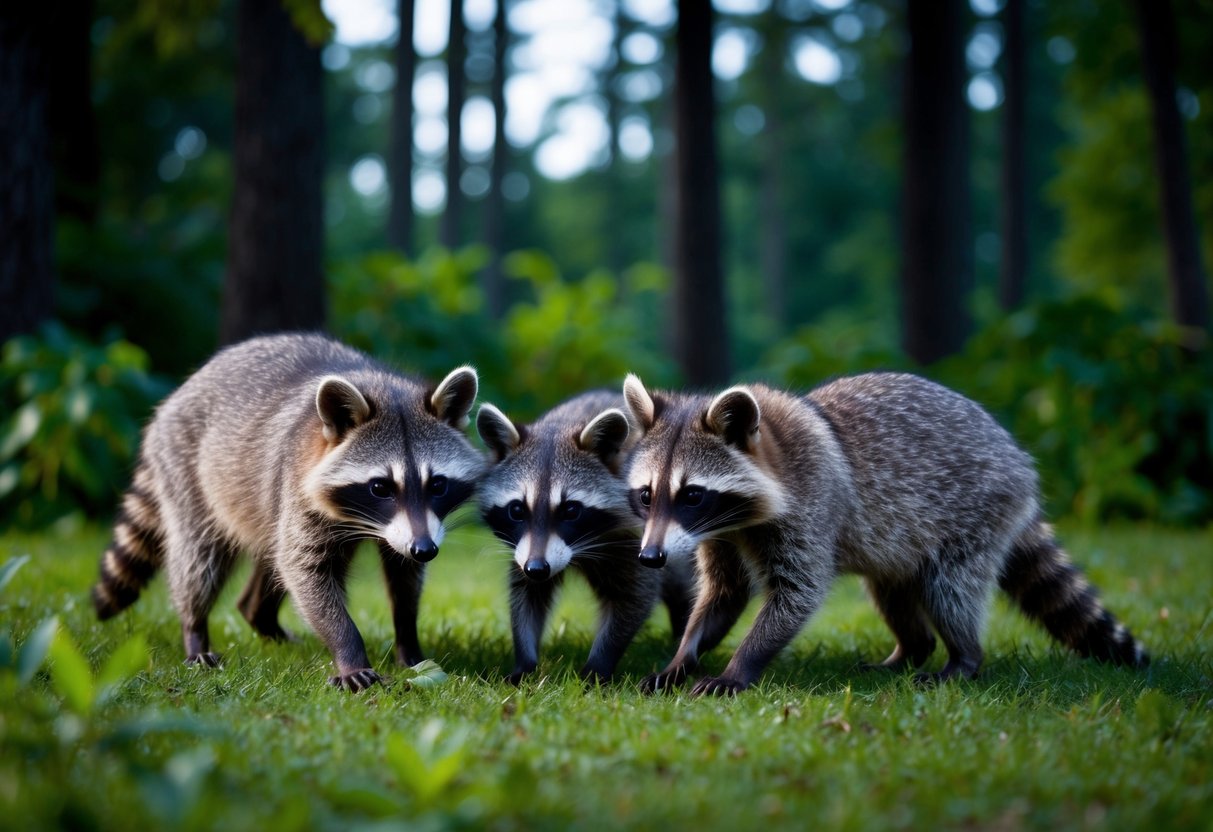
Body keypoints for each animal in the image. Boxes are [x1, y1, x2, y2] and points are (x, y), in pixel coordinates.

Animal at [92, 333, 483, 692]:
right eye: (380, 487)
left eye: (438, 485)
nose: (425, 549)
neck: (385, 389)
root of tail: (179, 394)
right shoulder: (298, 487)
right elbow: (304, 569)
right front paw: (349, 649)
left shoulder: (408, 528)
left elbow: (403, 575)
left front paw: (408, 640)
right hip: (188, 471)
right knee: (200, 557)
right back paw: (194, 629)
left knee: (272, 556)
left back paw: (260, 616)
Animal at [476, 391, 695, 685]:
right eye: (517, 510)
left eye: (570, 510)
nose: (537, 568)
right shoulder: (523, 549)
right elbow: (527, 595)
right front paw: (525, 660)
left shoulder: (638, 536)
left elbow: (634, 597)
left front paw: (598, 664)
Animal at [621, 371, 1148, 696]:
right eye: (646, 495)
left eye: (692, 495)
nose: (650, 557)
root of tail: (1015, 457)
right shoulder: (719, 537)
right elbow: (723, 596)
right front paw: (682, 658)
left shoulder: (811, 506)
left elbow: (797, 594)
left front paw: (739, 667)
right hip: (896, 545)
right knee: (891, 590)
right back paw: (912, 649)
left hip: (977, 514)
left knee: (950, 590)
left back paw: (963, 658)